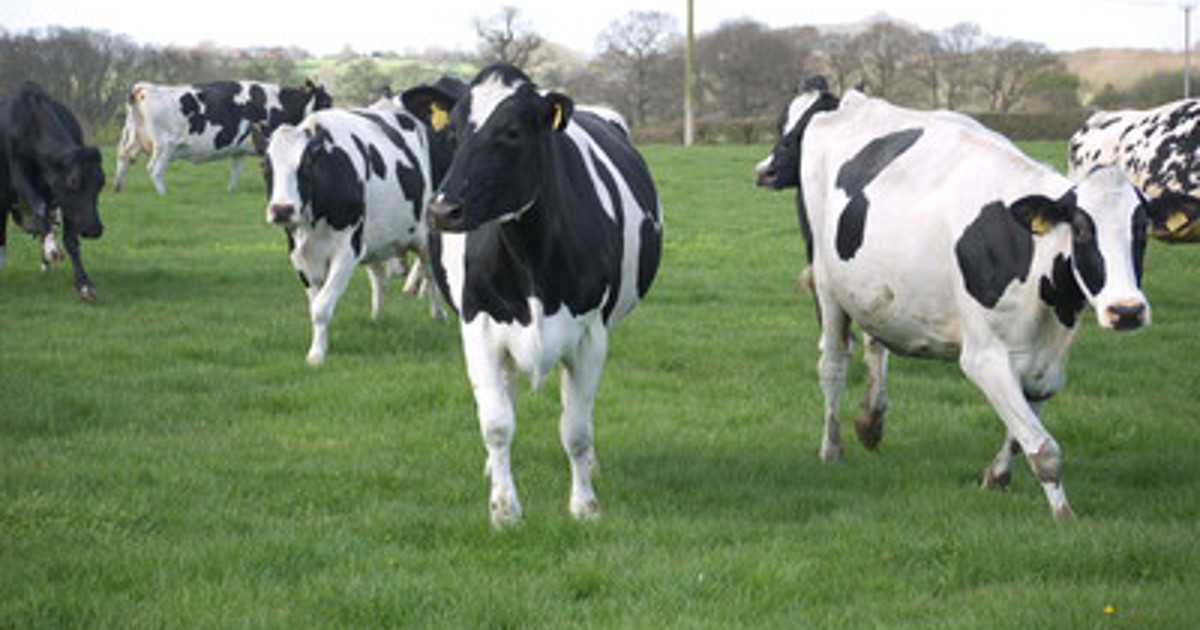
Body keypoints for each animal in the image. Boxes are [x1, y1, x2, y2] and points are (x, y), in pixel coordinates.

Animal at [1, 82, 105, 300]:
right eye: (73, 181)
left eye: (101, 183)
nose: (94, 228)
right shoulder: (19, 173)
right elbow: (38, 205)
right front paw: (51, 246)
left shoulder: (66, 202)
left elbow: (71, 241)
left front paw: (84, 284)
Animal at [116, 79, 332, 195]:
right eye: (326, 102)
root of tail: (144, 87)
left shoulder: (240, 150)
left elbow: (235, 173)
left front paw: (230, 193)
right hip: (165, 146)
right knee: (154, 169)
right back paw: (164, 195)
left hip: (133, 139)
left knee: (123, 158)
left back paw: (117, 189)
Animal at [258, 93, 452, 366]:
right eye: (265, 167)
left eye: (306, 166)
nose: (282, 210)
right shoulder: (299, 255)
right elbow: (315, 304)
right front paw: (320, 345)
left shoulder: (347, 250)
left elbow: (321, 307)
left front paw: (316, 355)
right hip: (373, 241)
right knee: (380, 278)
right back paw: (377, 318)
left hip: (425, 234)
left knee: (430, 271)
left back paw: (439, 315)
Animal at [400, 64, 664, 527]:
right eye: (454, 131)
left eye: (511, 131)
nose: (443, 211)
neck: (530, 260)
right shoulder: (478, 327)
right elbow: (496, 424)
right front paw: (504, 508)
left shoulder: (591, 335)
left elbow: (576, 428)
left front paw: (584, 504)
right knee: (505, 396)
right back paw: (494, 468)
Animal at [757, 78, 1153, 520]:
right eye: (1082, 230)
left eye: (1142, 230)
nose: (1127, 310)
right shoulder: (984, 357)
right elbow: (1045, 449)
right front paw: (1065, 517)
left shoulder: (1048, 365)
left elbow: (1024, 433)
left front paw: (997, 476)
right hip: (828, 286)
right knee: (831, 365)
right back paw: (832, 448)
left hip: (876, 283)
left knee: (875, 339)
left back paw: (870, 422)